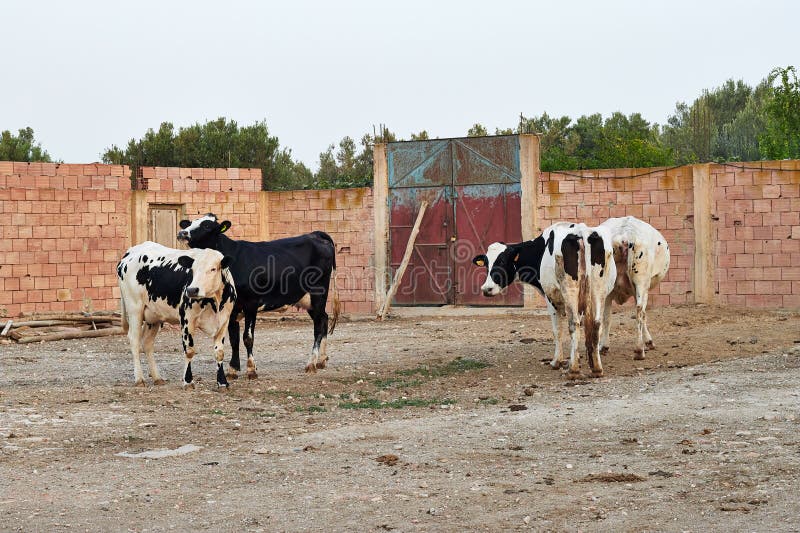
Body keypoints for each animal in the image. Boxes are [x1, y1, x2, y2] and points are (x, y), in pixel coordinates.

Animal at [117, 242, 236, 388]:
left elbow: (219, 353)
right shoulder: (186, 319)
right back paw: (139, 379)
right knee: (134, 340)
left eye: (213, 269)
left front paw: (222, 382)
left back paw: (157, 377)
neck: (214, 301)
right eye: (192, 269)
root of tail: (132, 251)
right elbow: (189, 350)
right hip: (134, 309)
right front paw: (188, 381)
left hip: (153, 317)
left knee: (147, 342)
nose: (192, 290)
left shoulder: (224, 321)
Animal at [176, 214, 340, 377]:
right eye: (190, 223)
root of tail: (315, 234)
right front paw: (233, 369)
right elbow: (234, 339)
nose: (182, 233)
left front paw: (250, 369)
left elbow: (247, 338)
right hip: (307, 299)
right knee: (324, 319)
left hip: (318, 293)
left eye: (207, 226)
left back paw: (311, 363)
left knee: (318, 325)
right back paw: (321, 360)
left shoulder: (251, 303)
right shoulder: (232, 307)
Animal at [472, 222, 616, 378]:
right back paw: (596, 368)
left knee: (574, 324)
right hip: (598, 291)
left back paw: (573, 370)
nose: (486, 288)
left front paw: (557, 361)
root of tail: (581, 231)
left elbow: (557, 330)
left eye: (503, 260)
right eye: (486, 264)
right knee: (596, 324)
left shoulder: (550, 299)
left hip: (570, 290)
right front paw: (576, 358)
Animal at [598, 216, 670, 360]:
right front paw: (648, 341)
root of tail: (624, 234)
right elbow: (643, 314)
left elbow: (607, 317)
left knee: (605, 315)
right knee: (639, 311)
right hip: (641, 281)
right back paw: (639, 350)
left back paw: (604, 347)